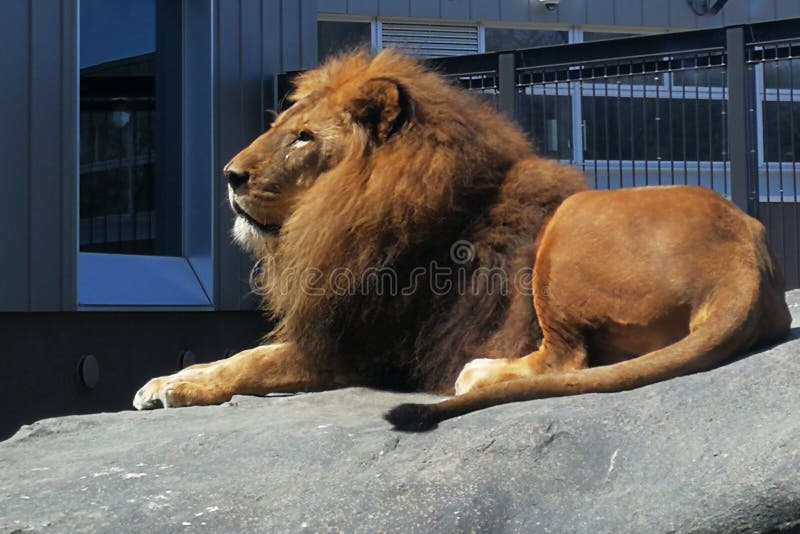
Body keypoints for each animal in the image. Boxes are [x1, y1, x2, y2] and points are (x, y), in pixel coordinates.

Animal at [133, 49, 791, 432]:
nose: (229, 176)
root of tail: (745, 264)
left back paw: (478, 372)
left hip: (570, 224)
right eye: (281, 127)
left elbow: (252, 361)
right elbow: (235, 355)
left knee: (564, 359)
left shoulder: (357, 346)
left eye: (304, 138)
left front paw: (181, 386)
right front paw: (164, 381)